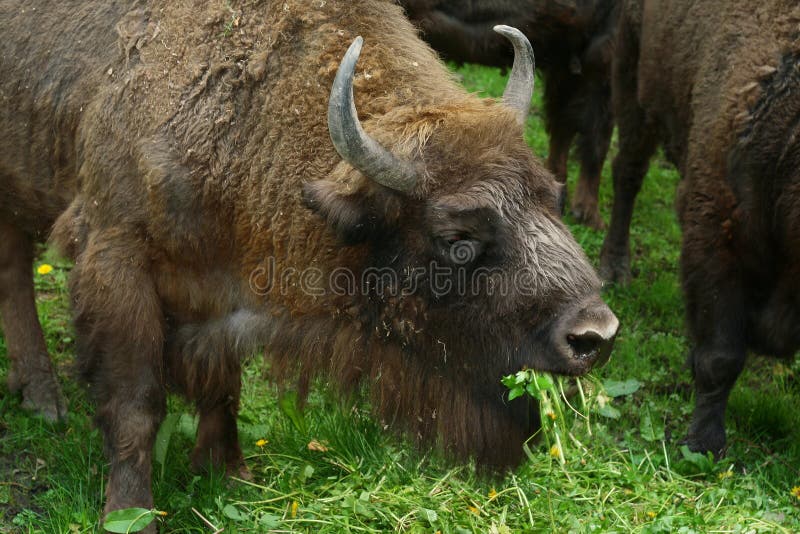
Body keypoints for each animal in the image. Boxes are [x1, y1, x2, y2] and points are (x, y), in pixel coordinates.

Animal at [599, 0, 800, 456]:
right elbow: (721, 356)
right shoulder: (714, 237)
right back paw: (614, 269)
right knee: (627, 173)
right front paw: (703, 443)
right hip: (635, 86)